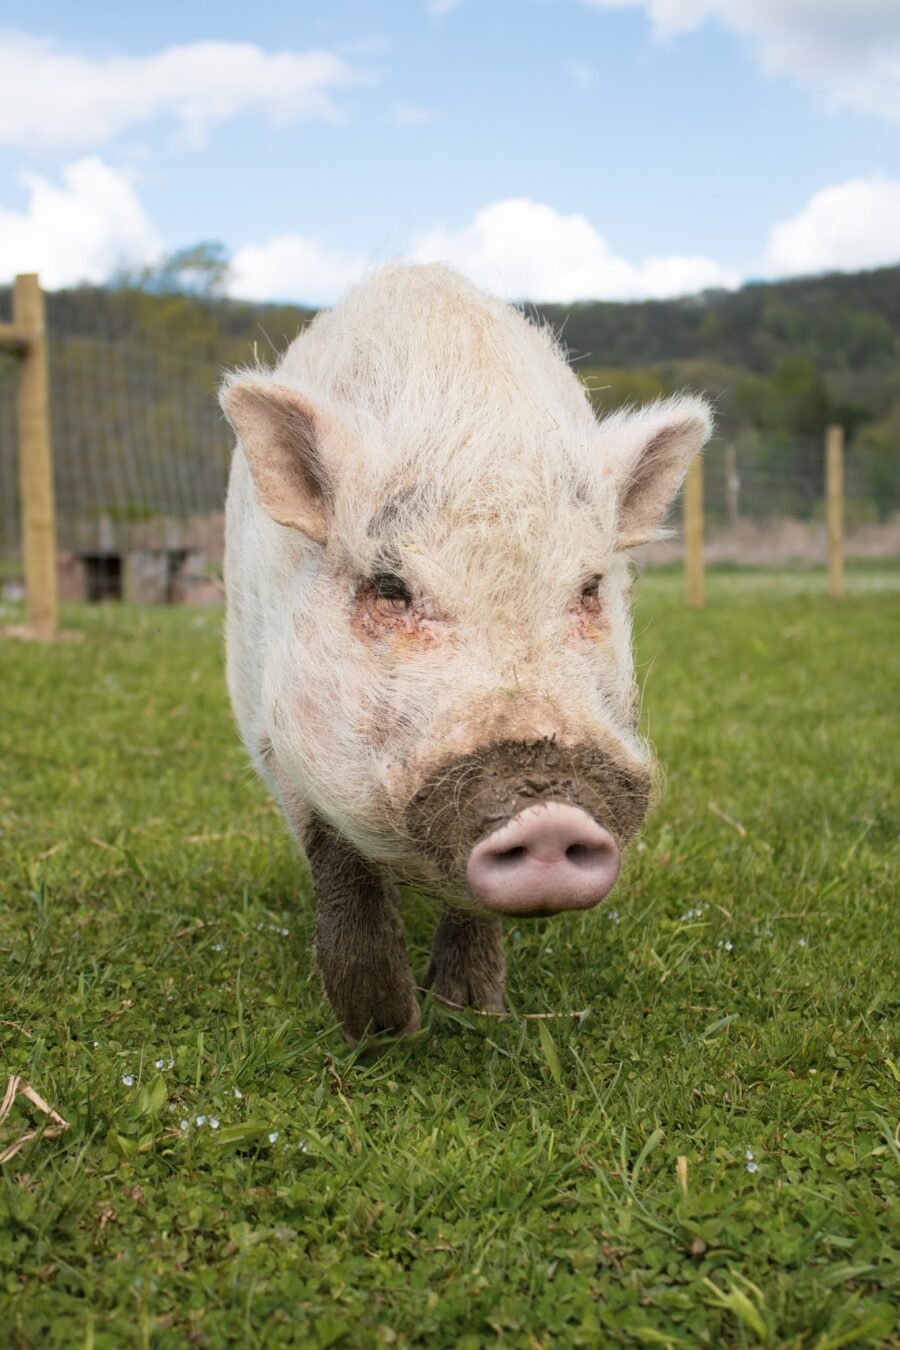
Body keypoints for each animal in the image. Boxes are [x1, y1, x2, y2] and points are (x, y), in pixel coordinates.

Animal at [220, 263, 711, 1044]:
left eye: (589, 587)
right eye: (391, 588)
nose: (549, 813)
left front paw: (472, 1009)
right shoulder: (267, 722)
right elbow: (340, 868)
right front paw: (387, 1033)